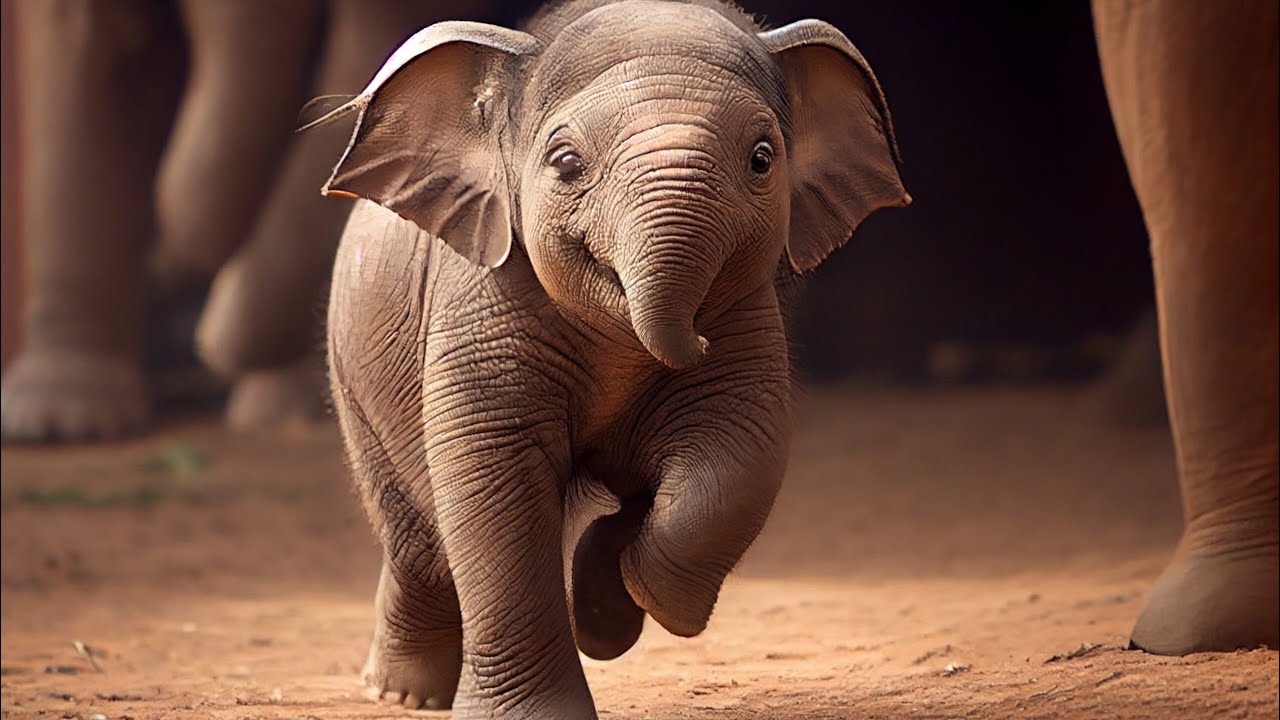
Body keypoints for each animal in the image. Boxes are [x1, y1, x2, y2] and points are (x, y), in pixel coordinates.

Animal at [317, 0, 908, 714]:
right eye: (567, 162)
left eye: (763, 159)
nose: (697, 341)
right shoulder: (478, 308)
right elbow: (493, 484)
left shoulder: (748, 318)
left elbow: (741, 449)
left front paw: (622, 601)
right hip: (353, 380)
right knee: (419, 538)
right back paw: (404, 695)